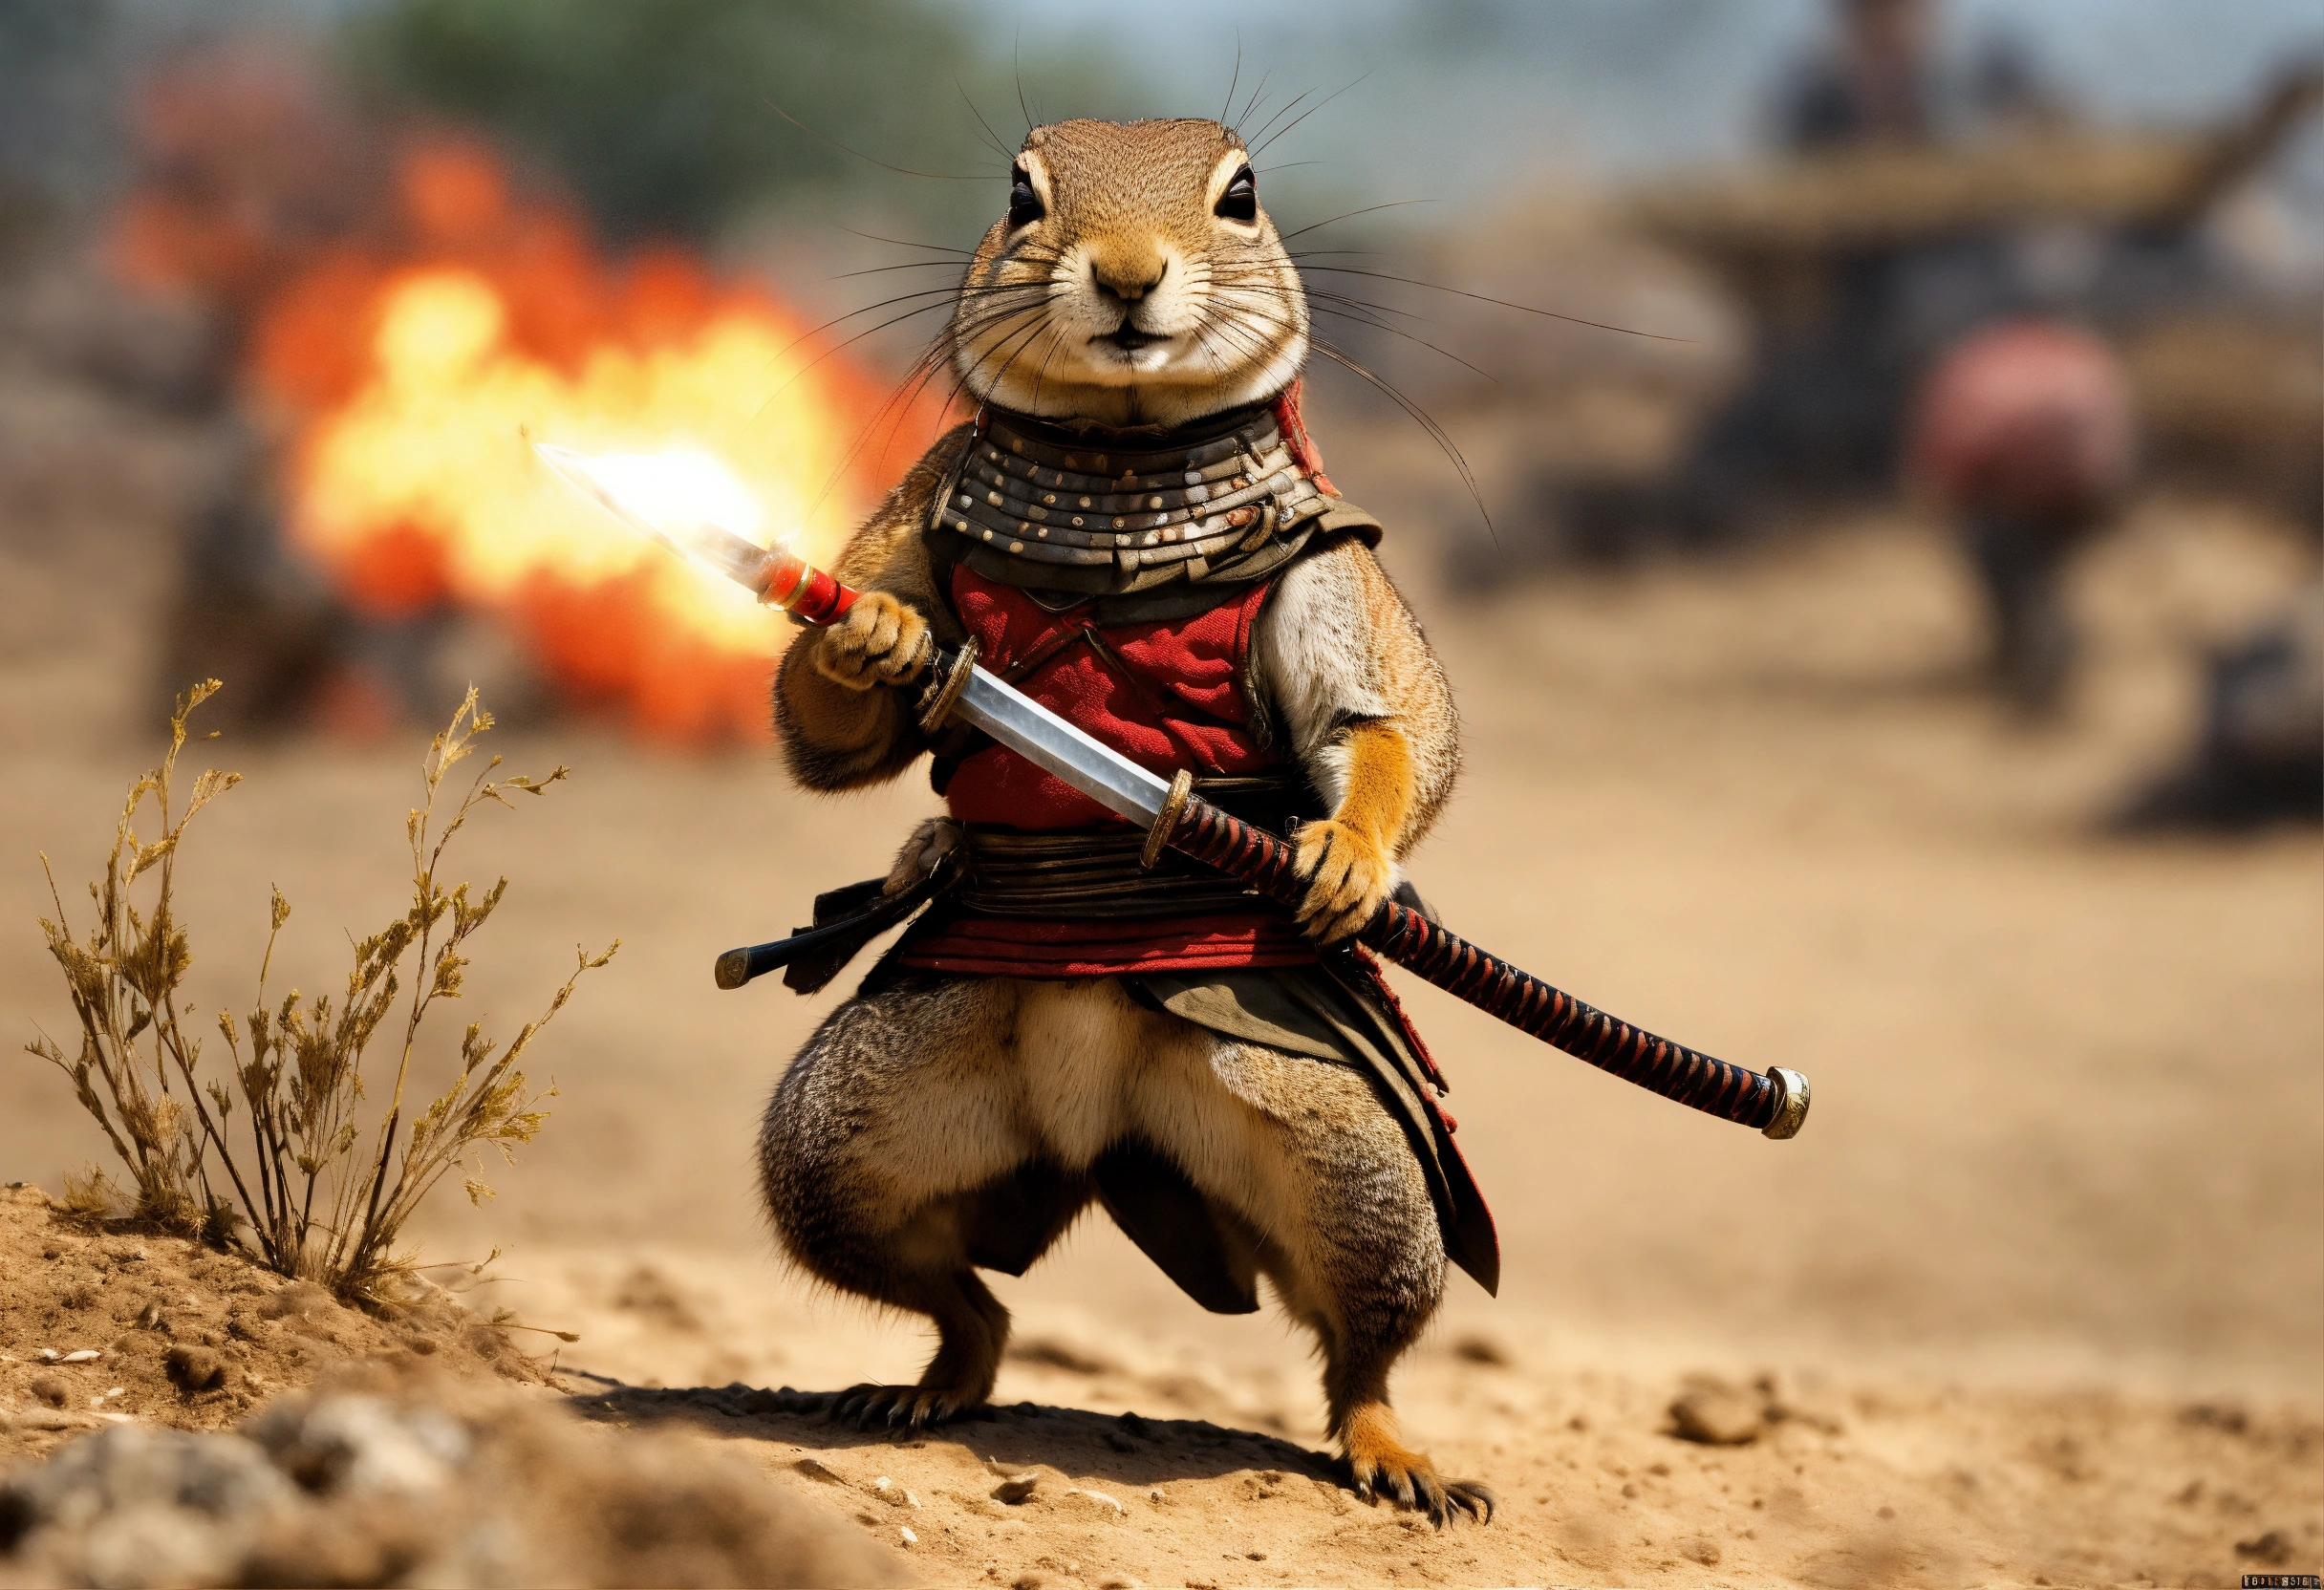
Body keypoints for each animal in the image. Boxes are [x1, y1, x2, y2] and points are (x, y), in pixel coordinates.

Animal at [757, 117, 1493, 1526]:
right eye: (1018, 194)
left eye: (1242, 195)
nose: (1130, 273)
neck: (1123, 450)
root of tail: (1100, 1132)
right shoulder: (919, 499)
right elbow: (828, 732)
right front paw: (869, 633)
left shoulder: (1332, 562)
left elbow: (1384, 727)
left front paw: (1344, 854)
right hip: (852, 1132)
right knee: (955, 1293)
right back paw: (930, 1384)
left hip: (1346, 1156)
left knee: (1363, 1339)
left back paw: (1391, 1450)